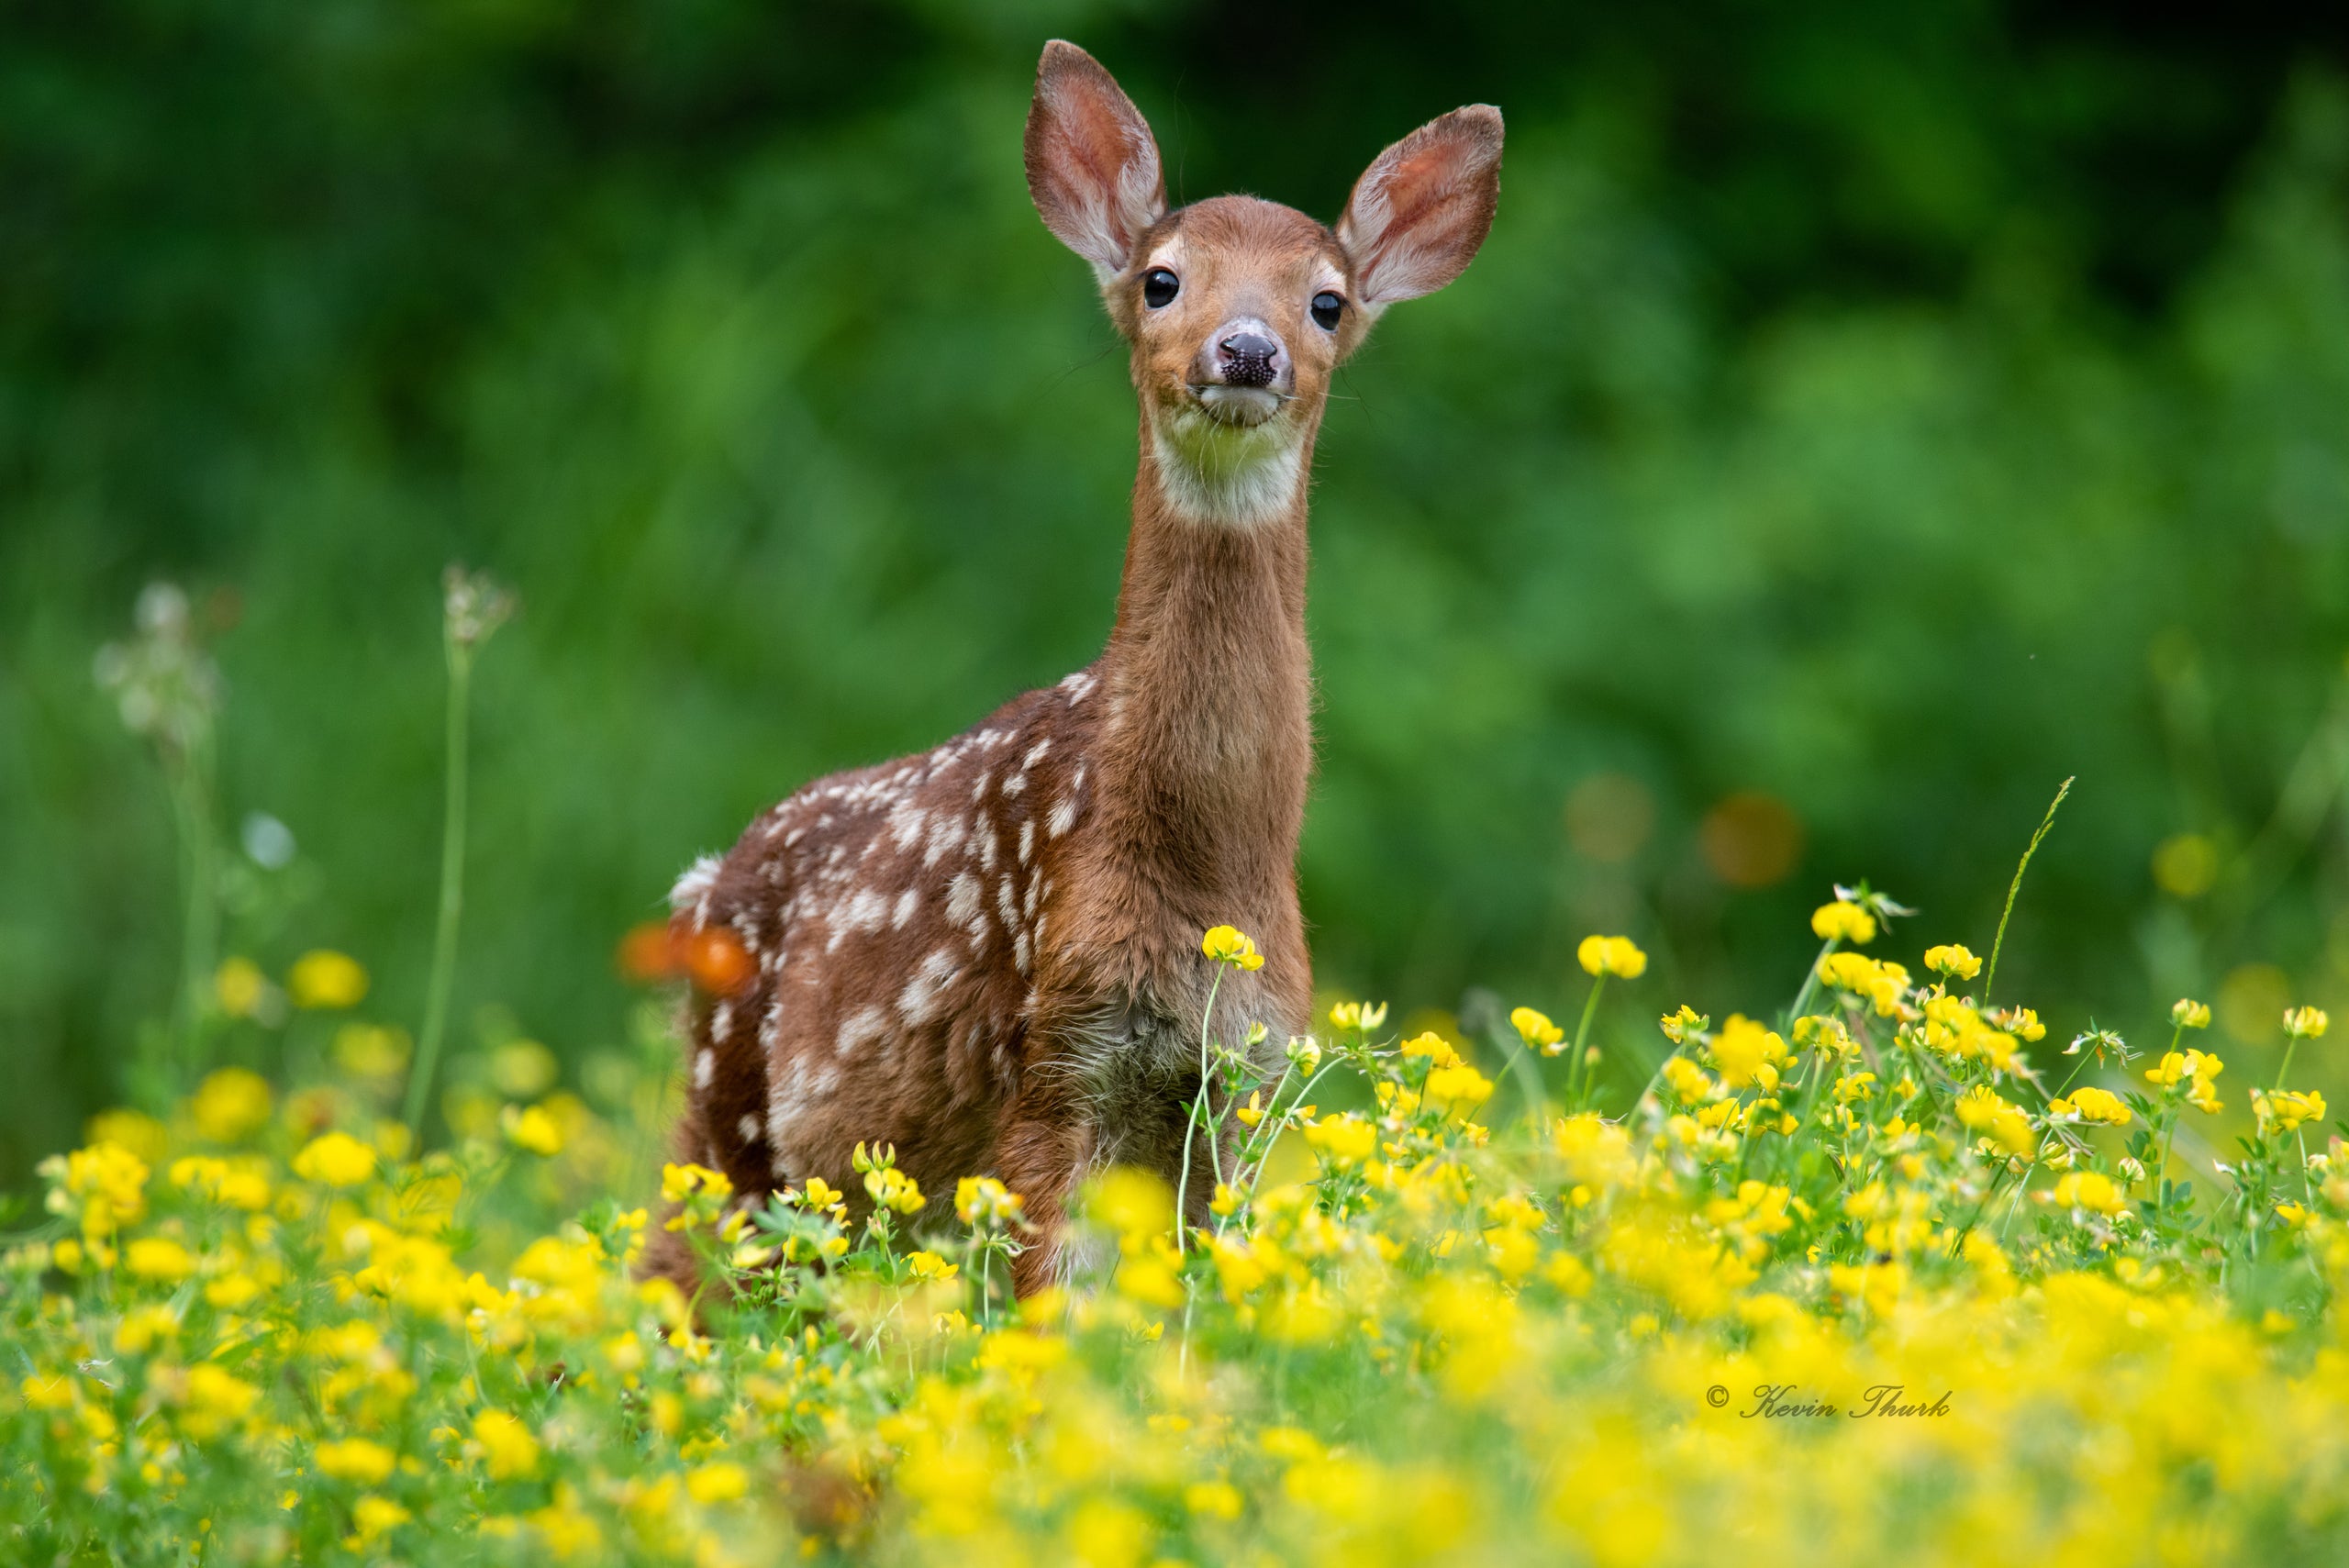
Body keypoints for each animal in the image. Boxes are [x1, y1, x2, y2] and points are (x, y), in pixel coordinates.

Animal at [651, 39, 1501, 1298]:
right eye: (1161, 279)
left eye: (1327, 301)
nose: (1245, 350)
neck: (1202, 865)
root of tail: (703, 883)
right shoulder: (1051, 1053)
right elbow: (1052, 1301)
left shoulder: (1236, 1073)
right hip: (734, 1120)